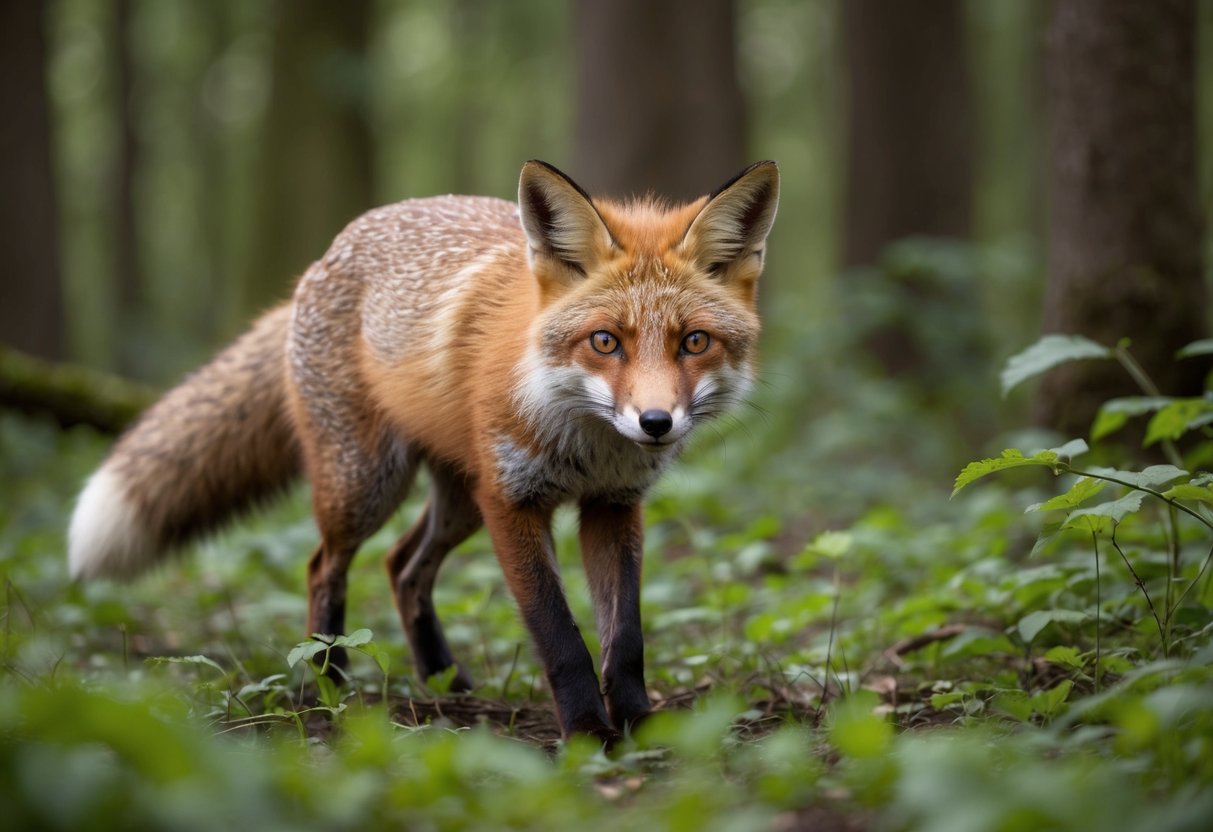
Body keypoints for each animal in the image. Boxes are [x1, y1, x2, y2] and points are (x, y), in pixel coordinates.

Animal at [68, 159, 779, 741]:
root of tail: (324, 256)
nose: (656, 423)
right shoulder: (513, 502)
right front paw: (587, 735)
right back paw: (329, 682)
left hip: (460, 500)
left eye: (693, 342)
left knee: (402, 566)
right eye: (606, 342)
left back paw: (443, 679)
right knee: (324, 566)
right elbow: (560, 637)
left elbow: (624, 636)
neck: (586, 443)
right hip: (370, 485)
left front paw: (639, 728)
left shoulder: (612, 504)